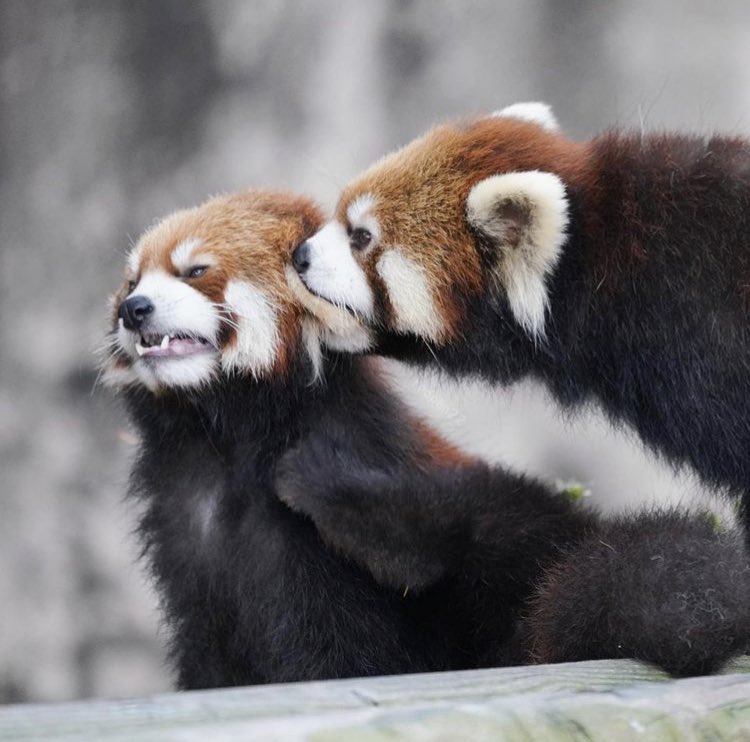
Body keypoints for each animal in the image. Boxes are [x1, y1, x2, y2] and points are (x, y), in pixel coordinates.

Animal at [102, 188, 750, 687]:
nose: (135, 309)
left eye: (195, 270)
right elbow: (211, 658)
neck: (228, 445)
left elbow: (341, 651)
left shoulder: (335, 504)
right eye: (131, 280)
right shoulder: (190, 547)